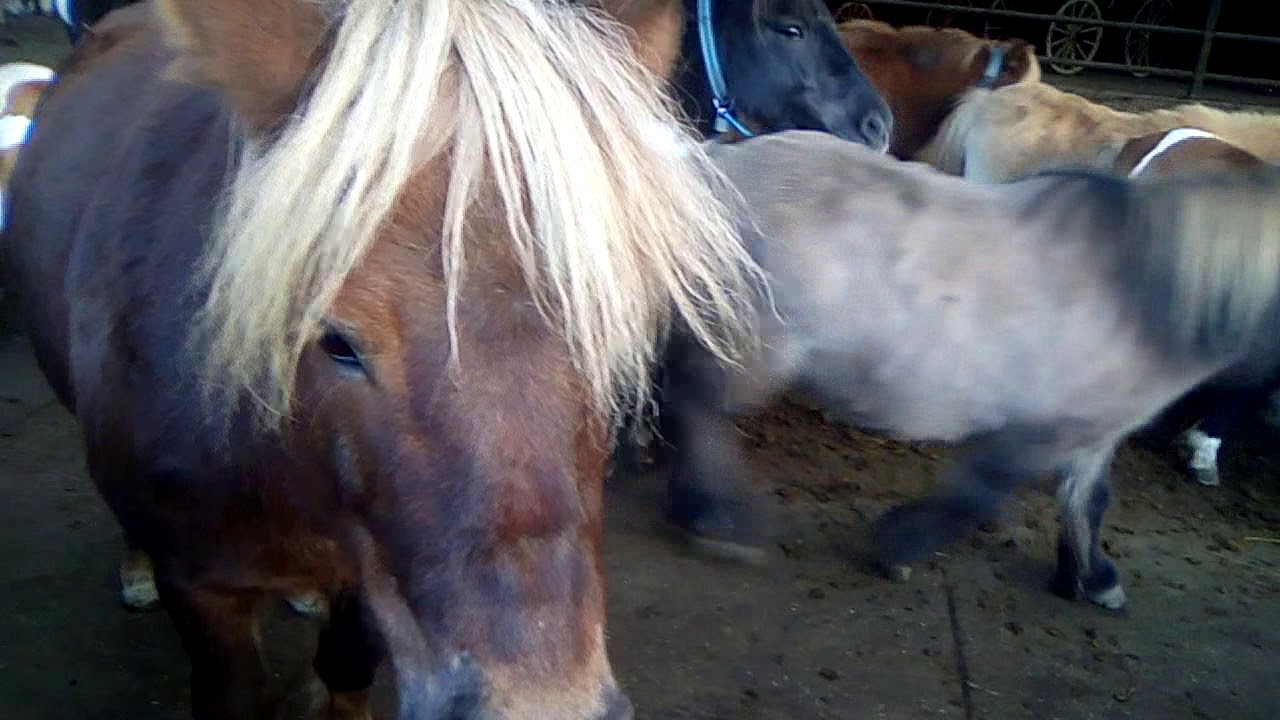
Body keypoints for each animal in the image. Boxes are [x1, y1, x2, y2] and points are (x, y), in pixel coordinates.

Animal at [2, 0, 765, 717]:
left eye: (611, 324)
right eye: (336, 341)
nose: (544, 705)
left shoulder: (366, 574)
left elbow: (346, 667)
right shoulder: (202, 589)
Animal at [654, 129, 1280, 611]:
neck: (1147, 288)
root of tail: (716, 162)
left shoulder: (1094, 431)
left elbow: (1087, 501)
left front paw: (1091, 578)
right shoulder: (1043, 431)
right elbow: (977, 493)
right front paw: (898, 545)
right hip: (752, 346)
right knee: (698, 406)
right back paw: (716, 518)